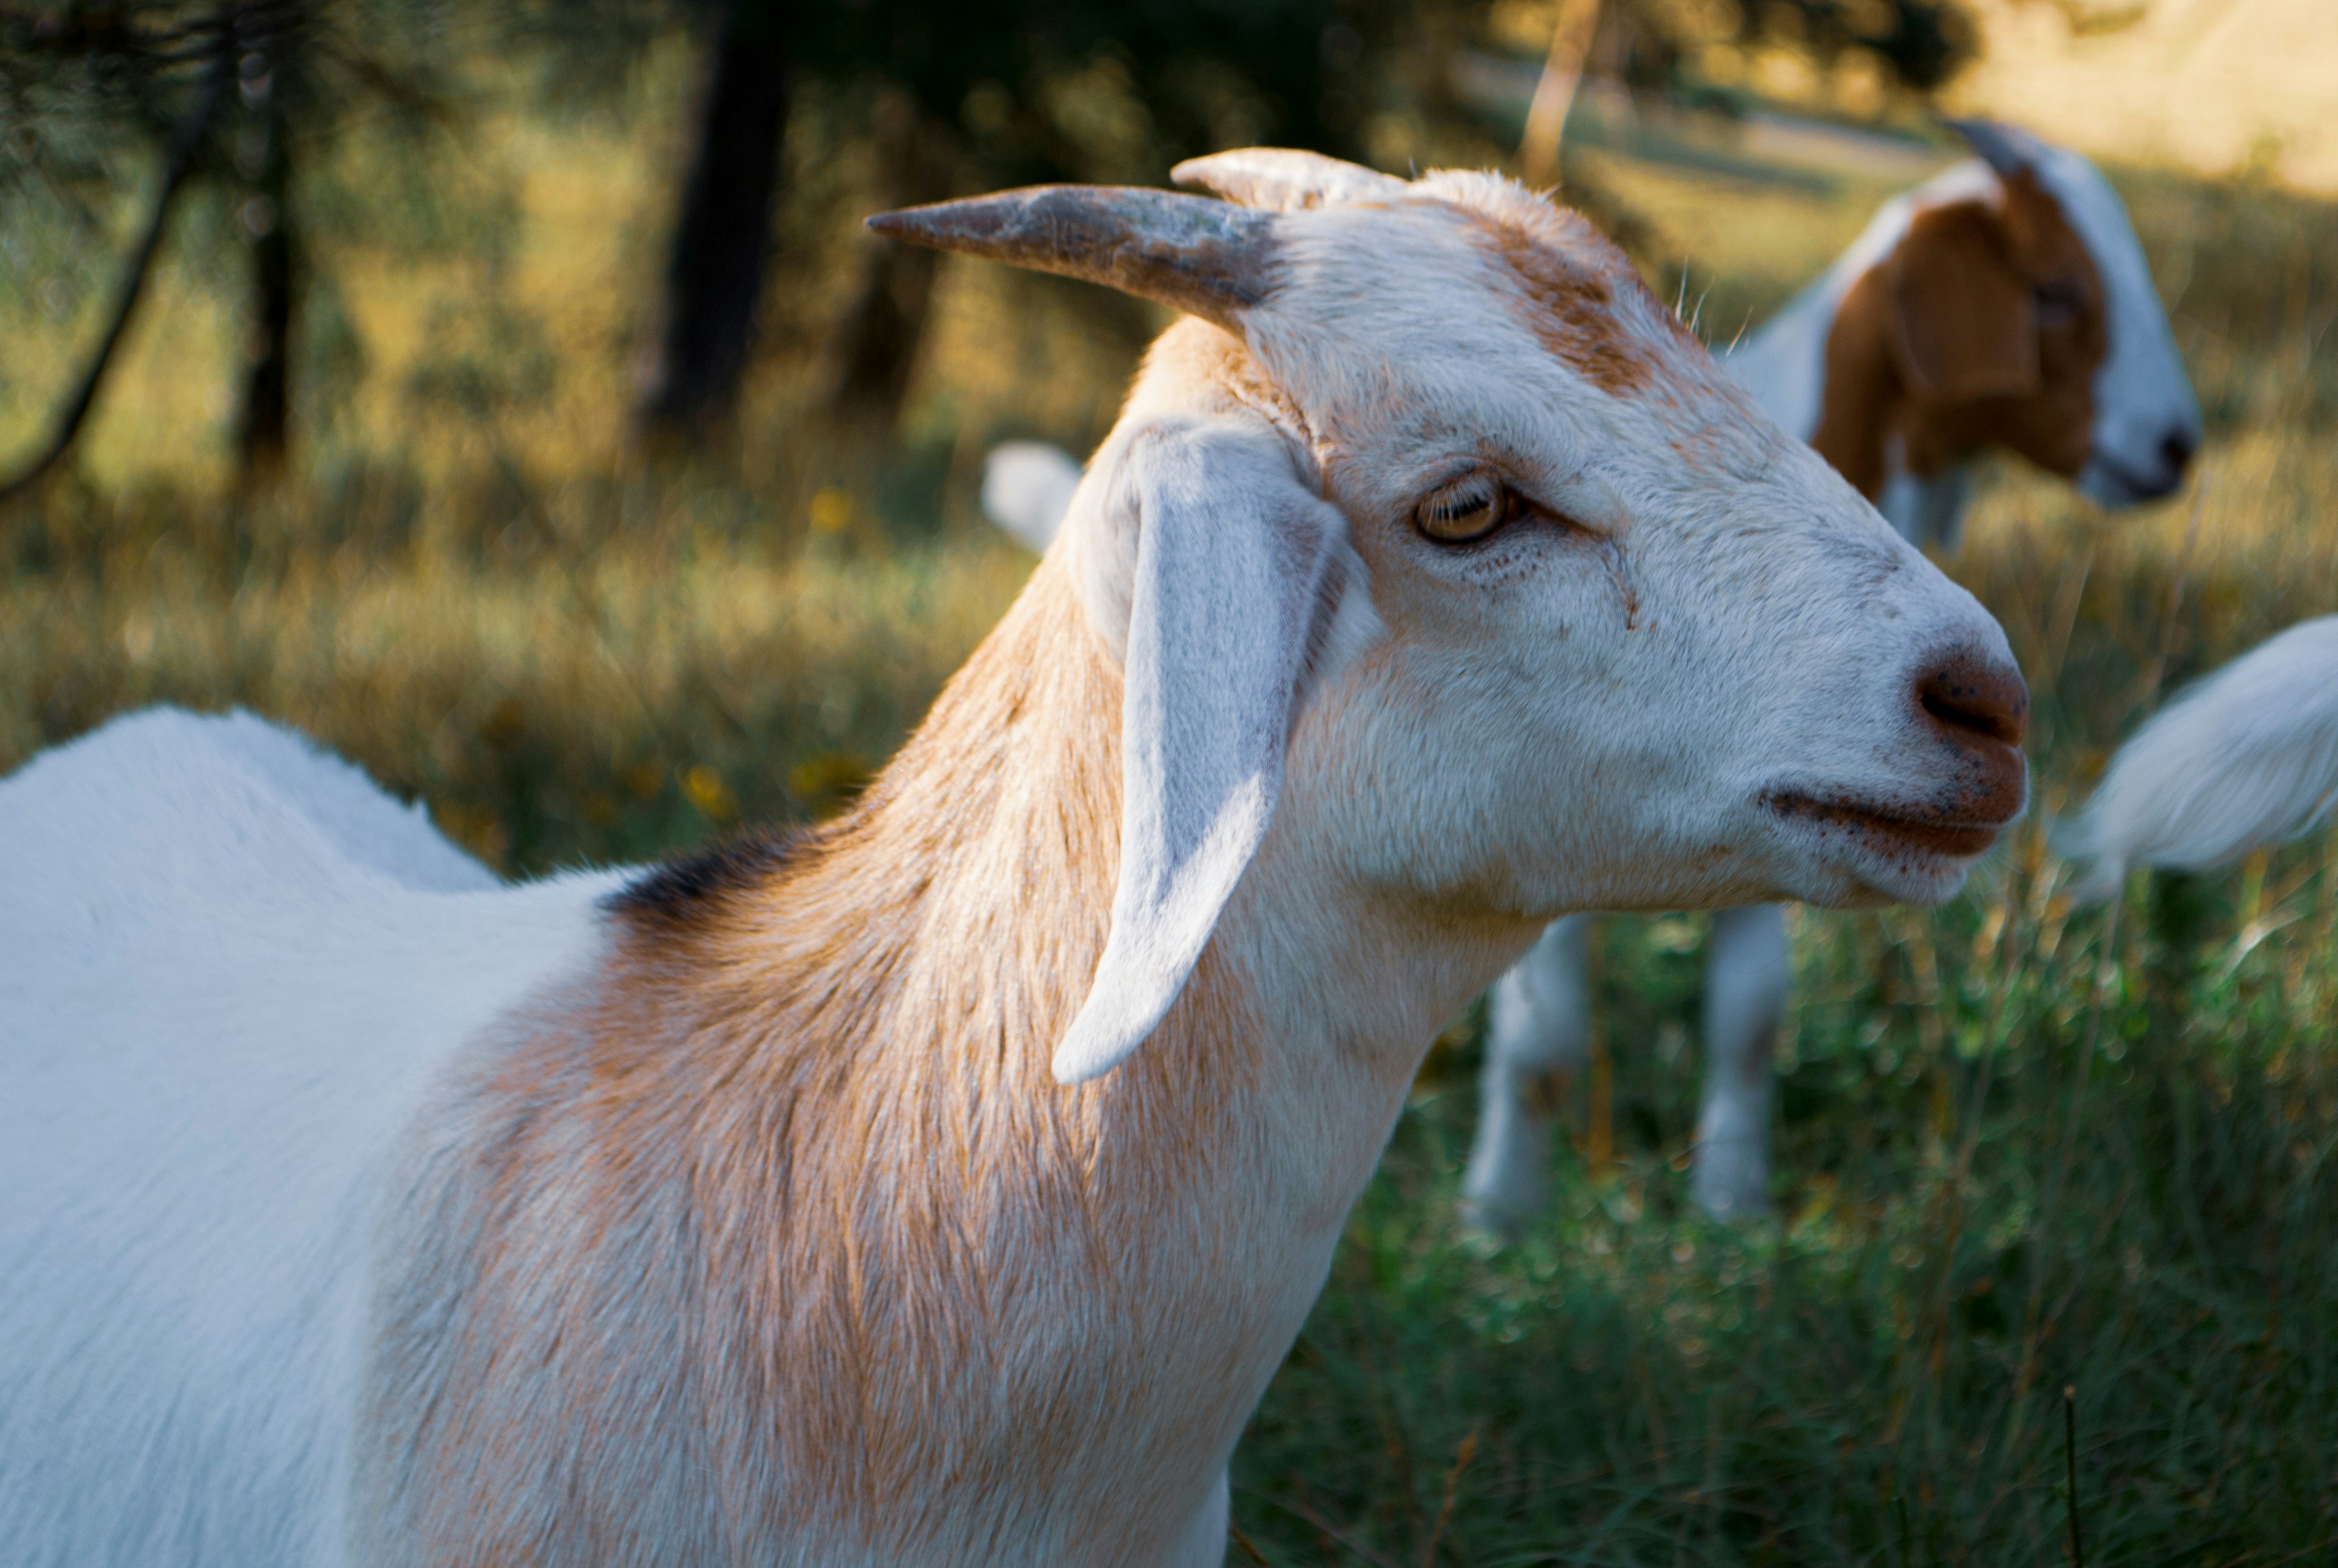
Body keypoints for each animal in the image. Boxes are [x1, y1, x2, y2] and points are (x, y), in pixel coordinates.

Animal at [1465, 118, 2203, 1228]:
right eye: (2052, 291)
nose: (2175, 445)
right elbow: (1541, 1041)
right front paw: (1498, 1219)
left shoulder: (1812, 794)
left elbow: (1748, 1016)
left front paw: (1730, 1206)